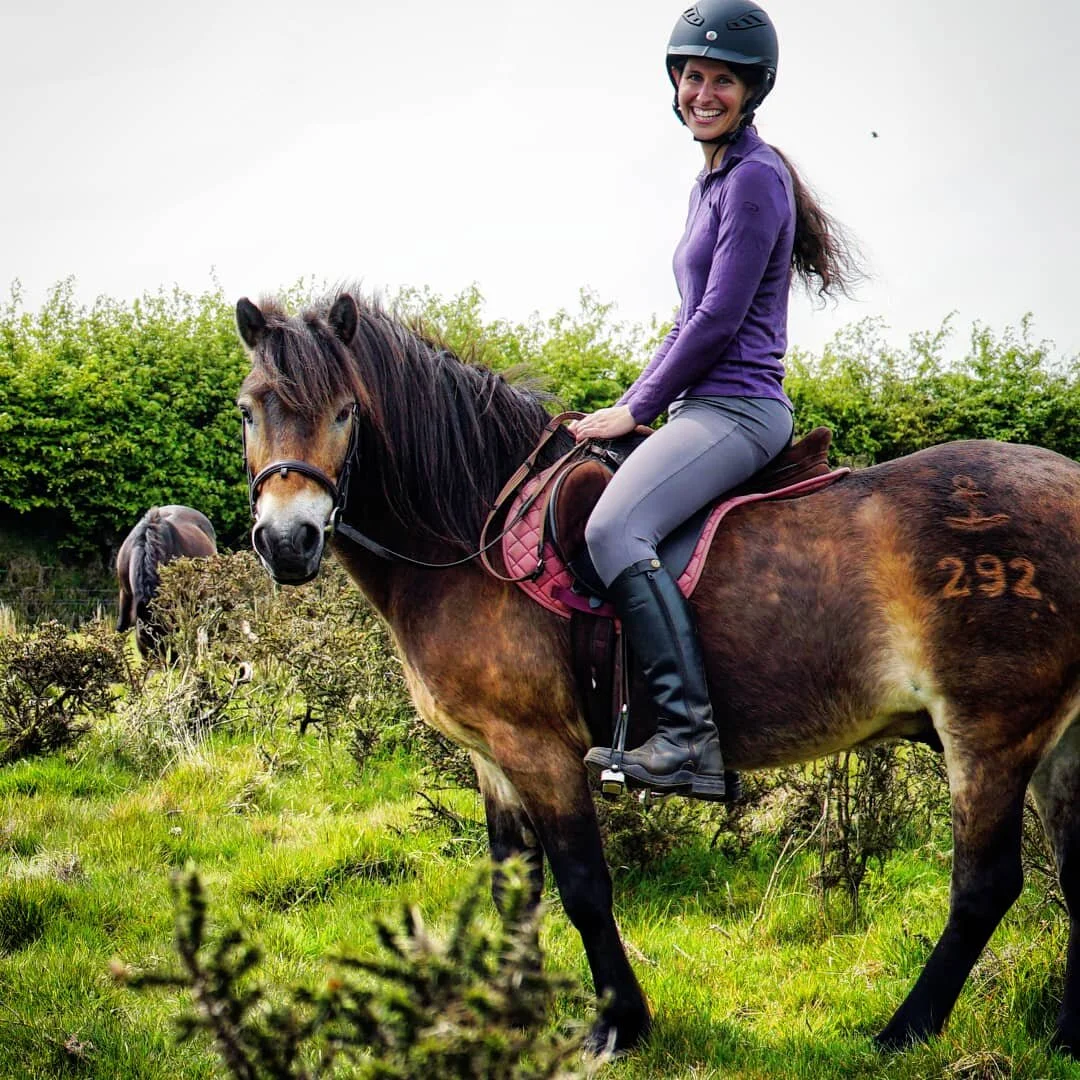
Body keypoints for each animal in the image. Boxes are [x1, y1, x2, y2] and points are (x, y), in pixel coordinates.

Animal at [234, 287, 1080, 1059]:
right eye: (248, 411)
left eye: (346, 412)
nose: (287, 541)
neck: (472, 530)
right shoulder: (491, 754)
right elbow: (515, 883)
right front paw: (510, 1014)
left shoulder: (539, 748)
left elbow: (581, 884)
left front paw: (618, 1024)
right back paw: (1065, 1037)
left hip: (990, 734)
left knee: (985, 886)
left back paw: (905, 1031)